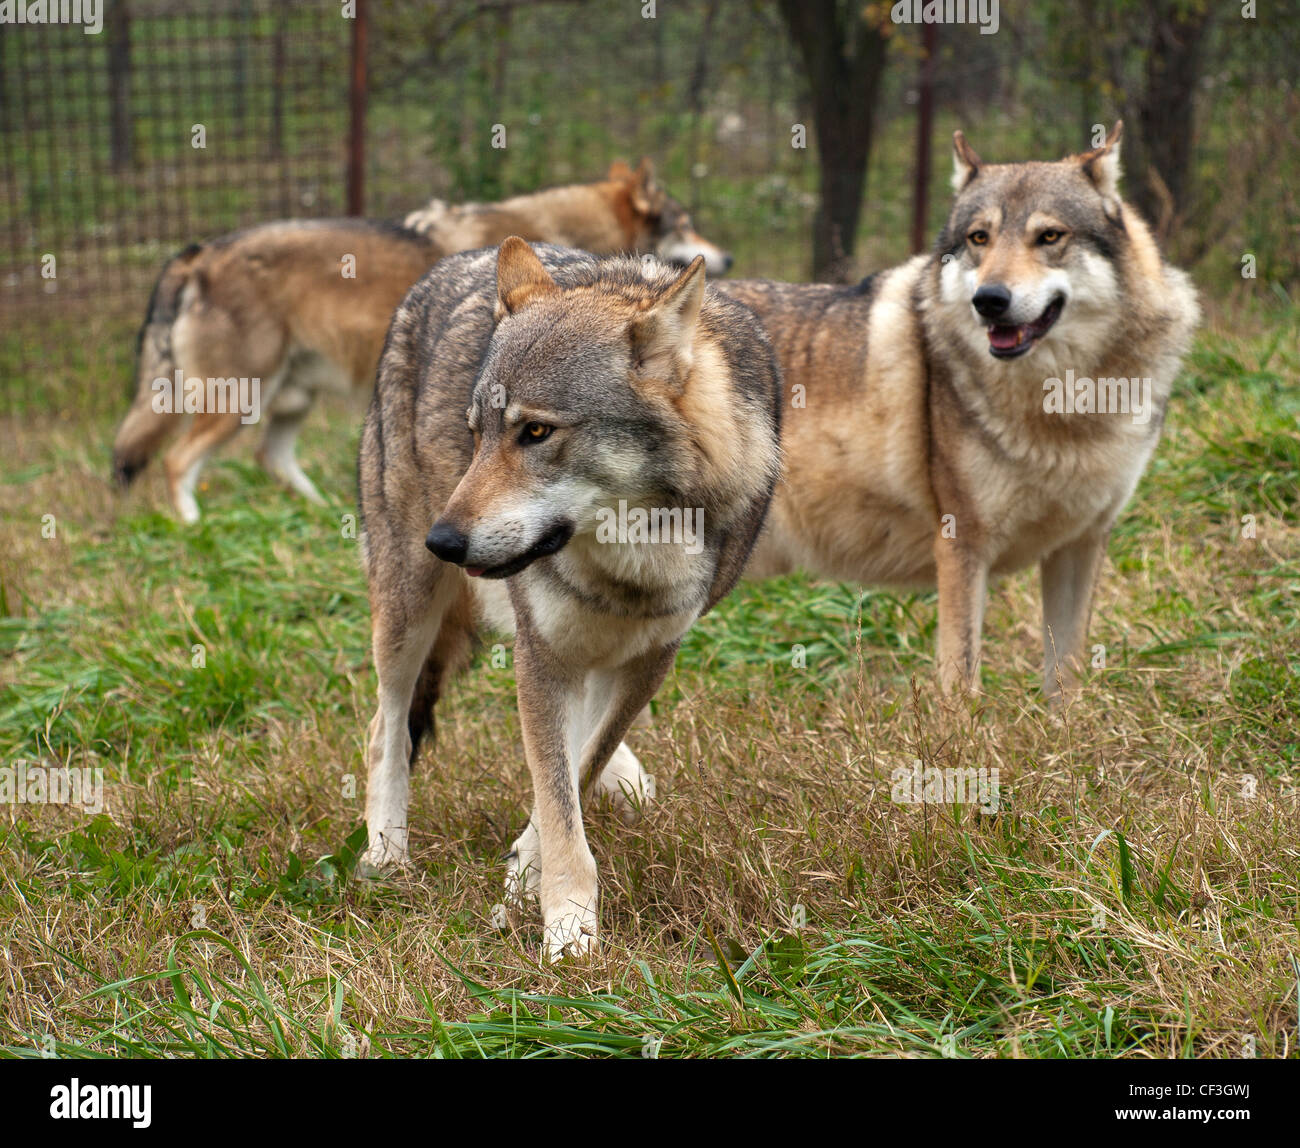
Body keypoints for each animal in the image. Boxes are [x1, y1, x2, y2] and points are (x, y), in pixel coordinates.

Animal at [112, 160, 731, 524]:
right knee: (177, 461)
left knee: (271, 457)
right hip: (239, 400)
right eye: (686, 223)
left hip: (288, 399)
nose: (725, 257)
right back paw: (195, 529)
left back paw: (328, 511)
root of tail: (199, 252)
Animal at [357, 238, 781, 960]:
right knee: (385, 728)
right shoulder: (544, 653)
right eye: (476, 433)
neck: (633, 555)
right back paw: (385, 854)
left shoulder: (650, 658)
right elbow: (558, 794)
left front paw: (526, 881)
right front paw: (567, 926)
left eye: (535, 432)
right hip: (407, 611)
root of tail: (450, 261)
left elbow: (578, 769)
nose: (443, 540)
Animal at [723, 123, 1199, 697]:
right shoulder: (962, 546)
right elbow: (961, 684)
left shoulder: (1079, 545)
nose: (989, 300)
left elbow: (1066, 678)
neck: (1060, 406)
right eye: (979, 238)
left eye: (1049, 236)